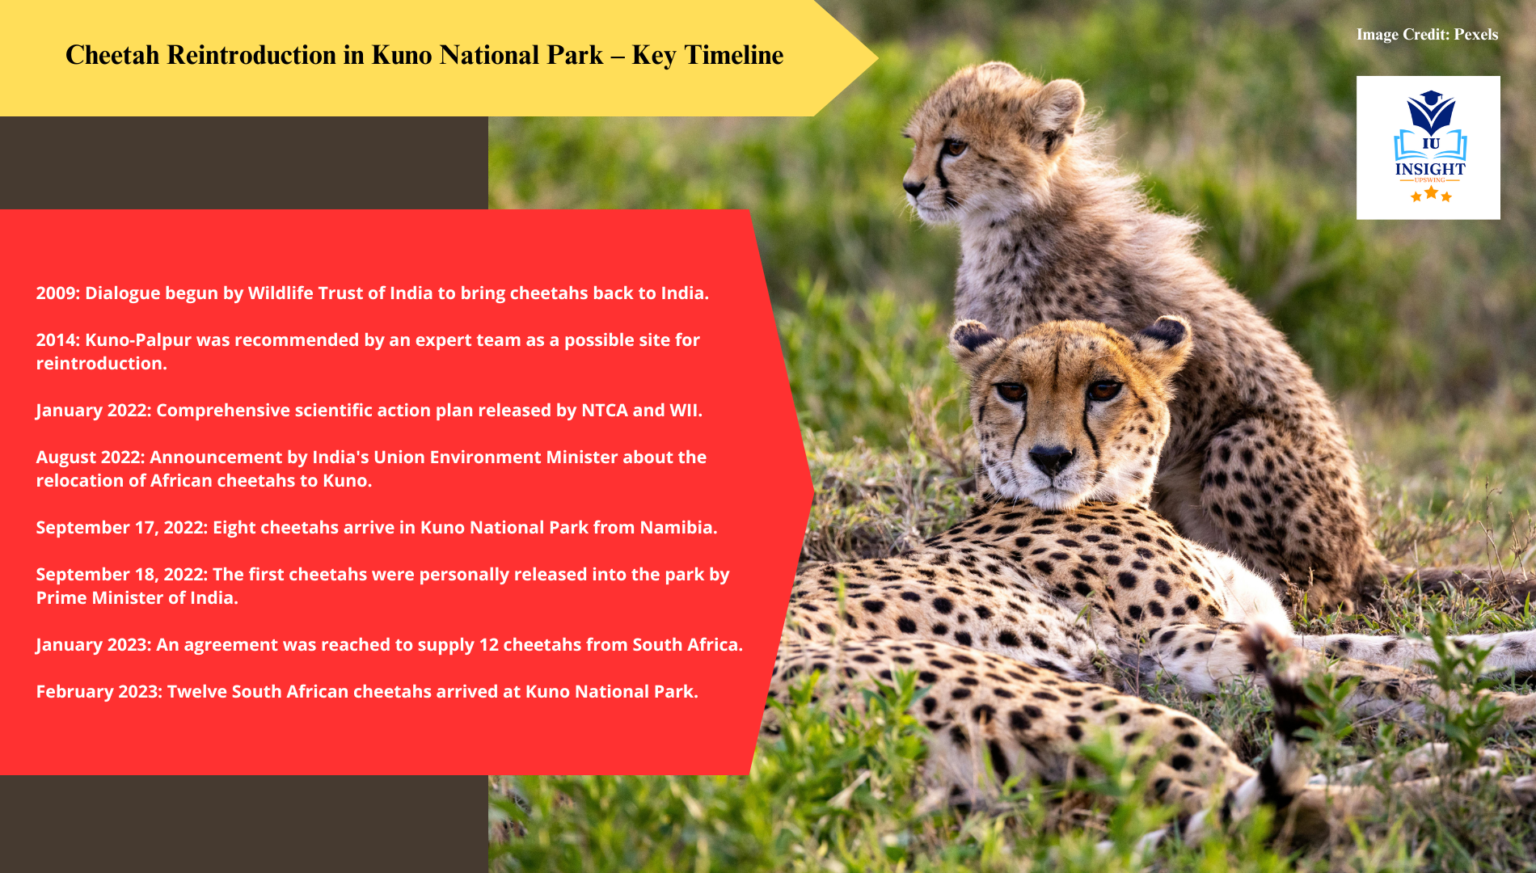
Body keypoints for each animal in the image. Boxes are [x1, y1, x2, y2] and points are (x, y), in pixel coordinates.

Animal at [899, 60, 1531, 610]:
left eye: (955, 146)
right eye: (915, 140)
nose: (910, 186)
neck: (1007, 224)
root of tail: (1365, 550)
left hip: (1242, 441)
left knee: (1329, 592)